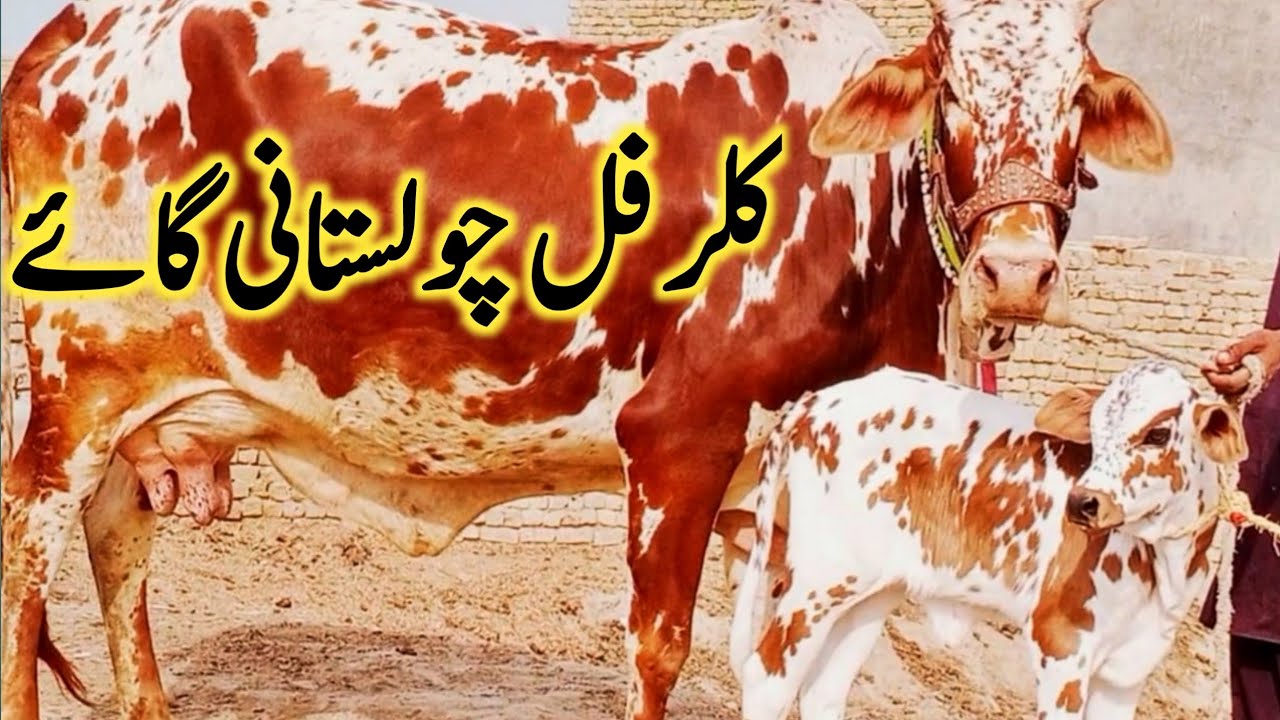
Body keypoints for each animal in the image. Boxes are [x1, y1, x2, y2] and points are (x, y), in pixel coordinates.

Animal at [0, 0, 1172, 718]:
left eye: (1078, 97)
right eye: (950, 87)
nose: (1015, 269)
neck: (860, 214)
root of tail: (68, 33)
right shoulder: (677, 439)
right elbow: (657, 647)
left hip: (156, 402)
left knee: (117, 540)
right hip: (74, 388)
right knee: (28, 540)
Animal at [728, 360, 1246, 720]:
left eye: (1158, 434)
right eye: (1097, 432)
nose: (1083, 503)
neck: (1165, 567)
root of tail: (815, 401)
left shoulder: (1127, 672)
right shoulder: (1061, 645)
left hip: (870, 593)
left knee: (822, 691)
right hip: (820, 582)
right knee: (767, 679)